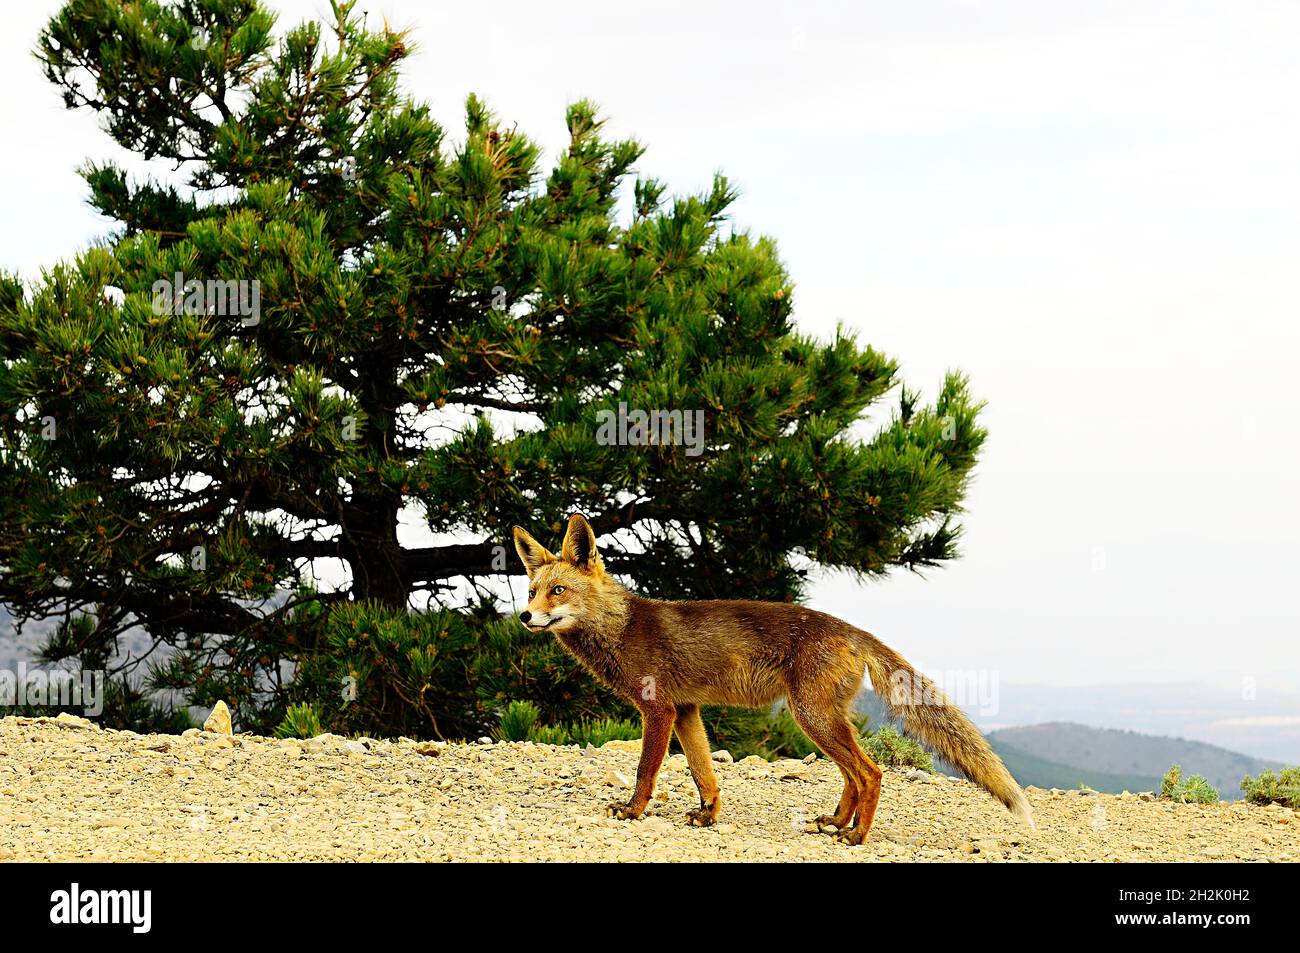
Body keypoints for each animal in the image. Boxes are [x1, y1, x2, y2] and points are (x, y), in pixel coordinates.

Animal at [512, 513, 1035, 844]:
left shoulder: (658, 709)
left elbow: (646, 772)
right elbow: (704, 772)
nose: (524, 616)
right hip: (820, 721)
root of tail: (852, 629)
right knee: (852, 776)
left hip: (813, 719)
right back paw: (835, 821)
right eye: (533, 590)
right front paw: (708, 815)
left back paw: (857, 835)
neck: (620, 627)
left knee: (871, 772)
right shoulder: (687, 710)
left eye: (558, 591)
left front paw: (633, 811)